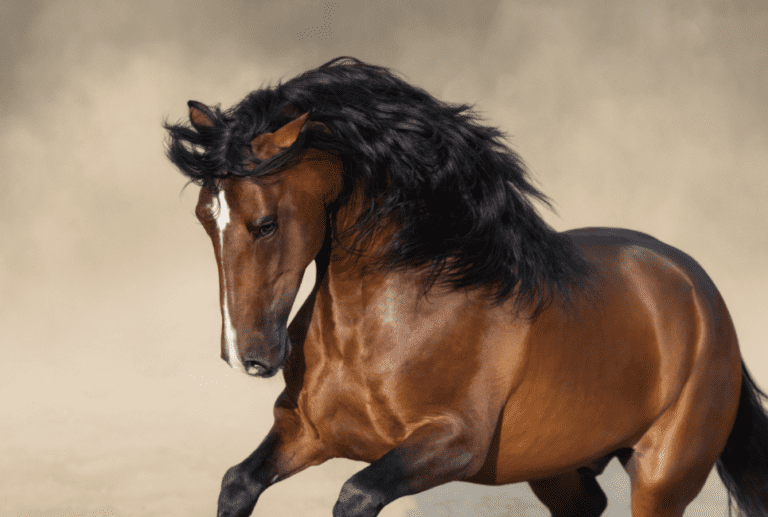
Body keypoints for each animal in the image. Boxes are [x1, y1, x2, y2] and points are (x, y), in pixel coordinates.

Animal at [165, 57, 768, 517]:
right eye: (203, 217)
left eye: (265, 224)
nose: (247, 356)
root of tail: (702, 292)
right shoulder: (305, 432)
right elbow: (237, 483)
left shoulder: (451, 444)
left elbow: (355, 493)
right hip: (557, 468)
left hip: (660, 477)